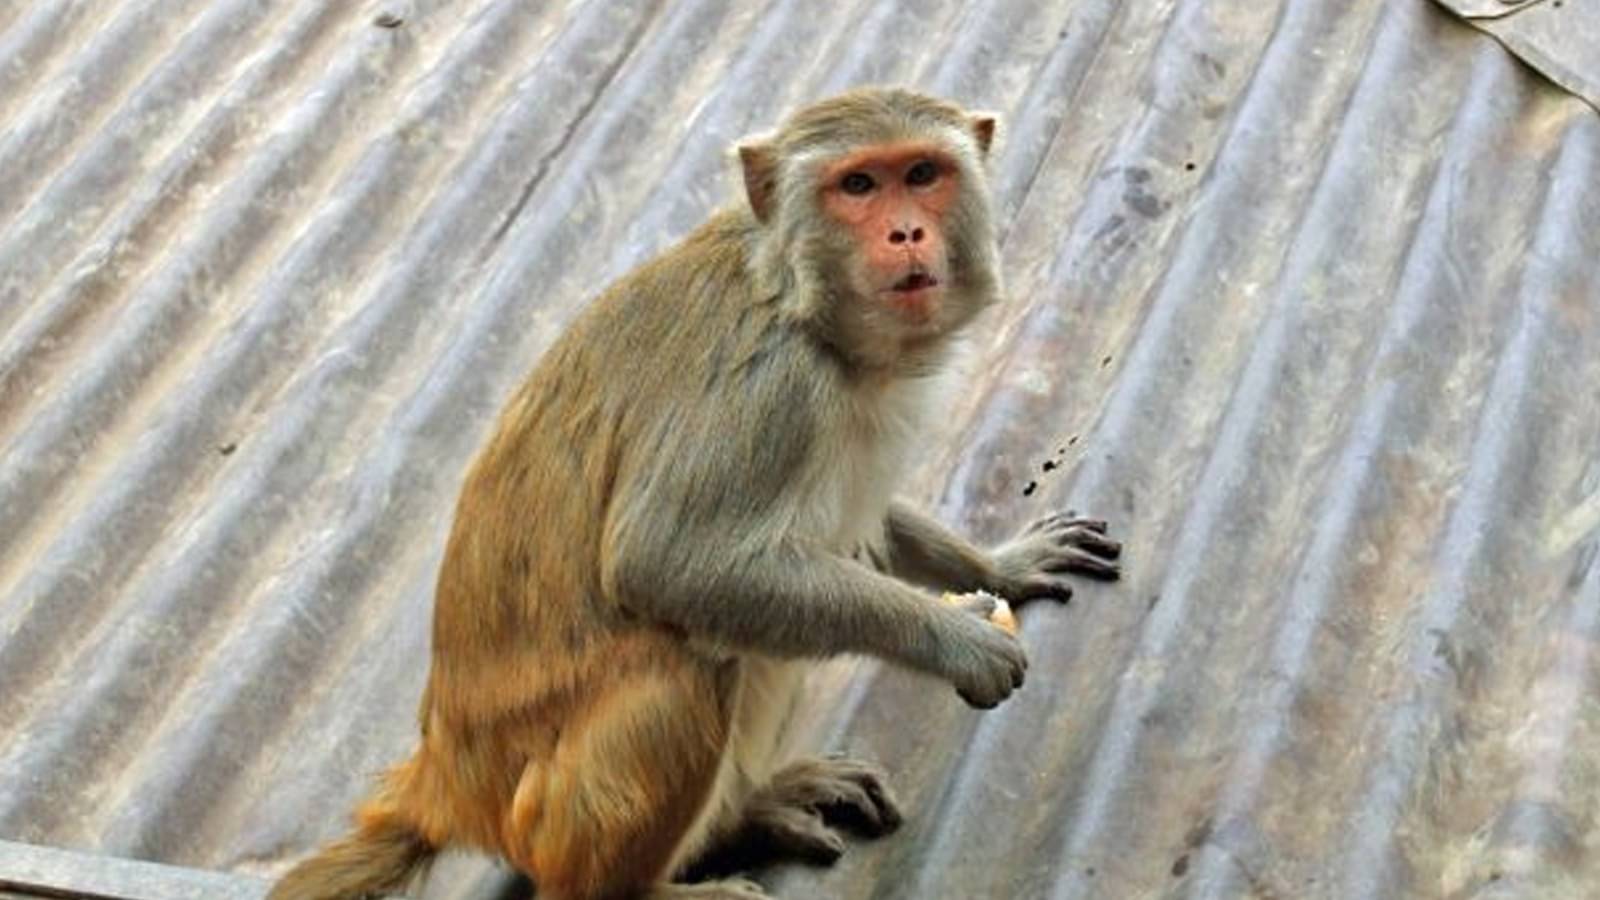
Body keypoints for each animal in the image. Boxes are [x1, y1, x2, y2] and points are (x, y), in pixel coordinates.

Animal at [268, 87, 1121, 900]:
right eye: (857, 185)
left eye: (921, 174)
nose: (906, 233)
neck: (804, 306)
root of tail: (446, 780)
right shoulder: (767, 389)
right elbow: (668, 563)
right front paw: (959, 641)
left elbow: (867, 523)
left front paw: (1001, 562)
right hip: (547, 818)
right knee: (684, 659)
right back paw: (640, 888)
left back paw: (753, 807)